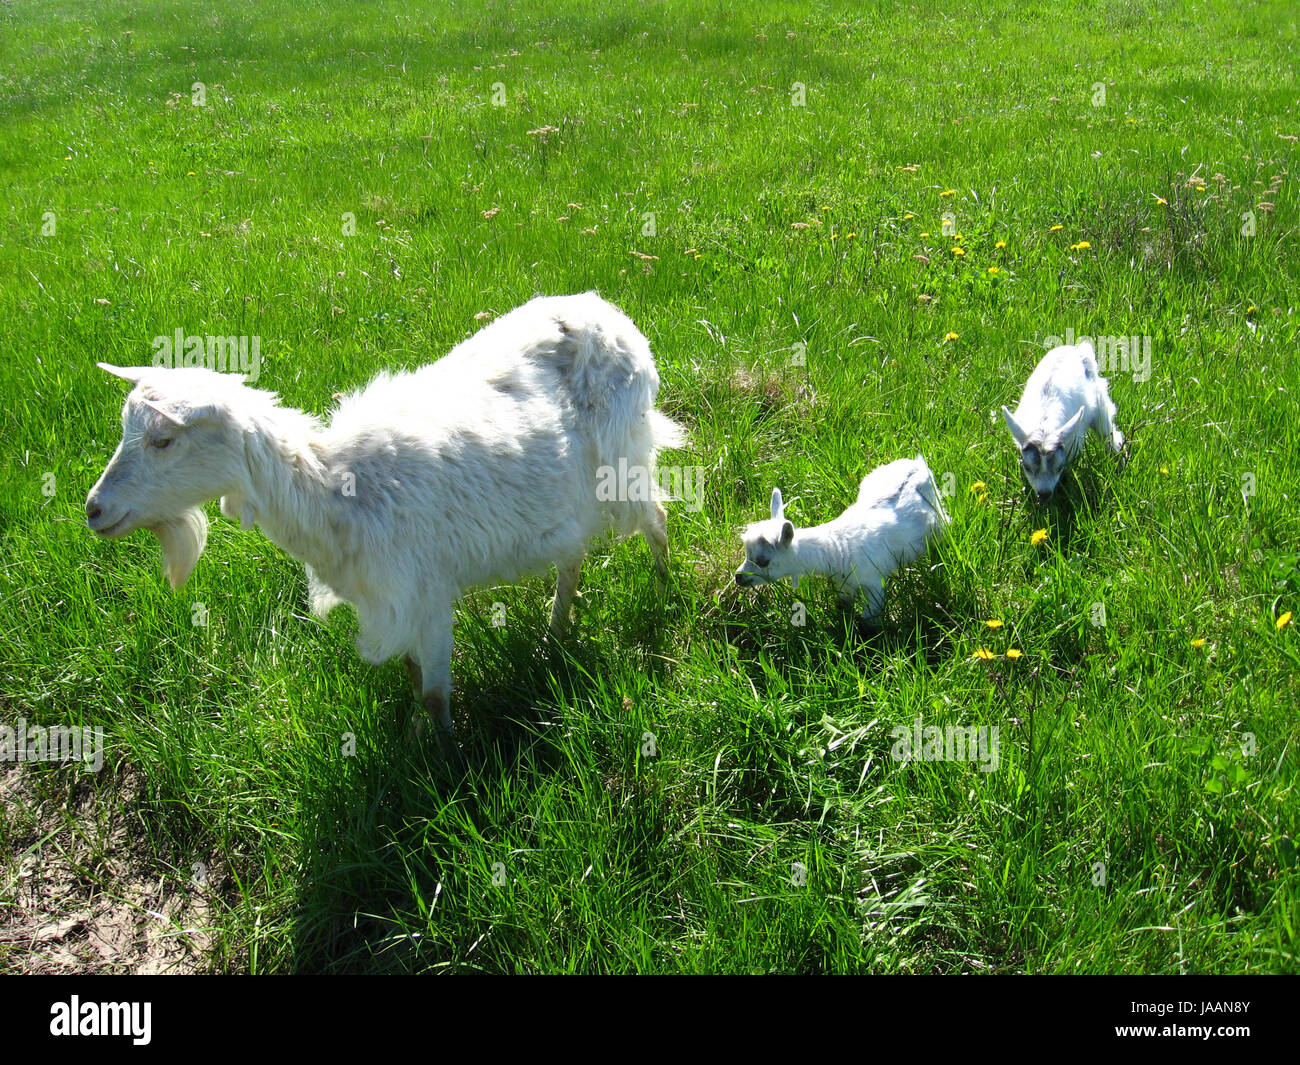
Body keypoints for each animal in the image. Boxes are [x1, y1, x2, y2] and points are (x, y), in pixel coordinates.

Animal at [85, 292, 685, 733]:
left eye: (163, 440)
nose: (93, 510)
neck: (335, 489)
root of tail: (604, 310)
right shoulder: (394, 600)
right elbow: (414, 677)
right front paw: (419, 744)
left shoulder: (428, 591)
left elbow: (435, 695)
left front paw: (444, 767)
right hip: (569, 496)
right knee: (572, 556)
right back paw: (555, 635)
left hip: (623, 458)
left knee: (655, 518)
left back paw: (664, 595)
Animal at [734, 454, 948, 625]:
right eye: (747, 554)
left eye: (763, 561)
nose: (738, 577)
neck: (837, 548)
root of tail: (918, 464)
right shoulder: (845, 582)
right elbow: (842, 604)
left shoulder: (873, 581)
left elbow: (869, 620)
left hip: (939, 523)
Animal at [1001, 340, 1124, 504]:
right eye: (1027, 467)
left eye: (1059, 467)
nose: (1044, 494)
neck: (1044, 424)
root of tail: (1078, 349)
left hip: (1099, 401)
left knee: (1108, 432)